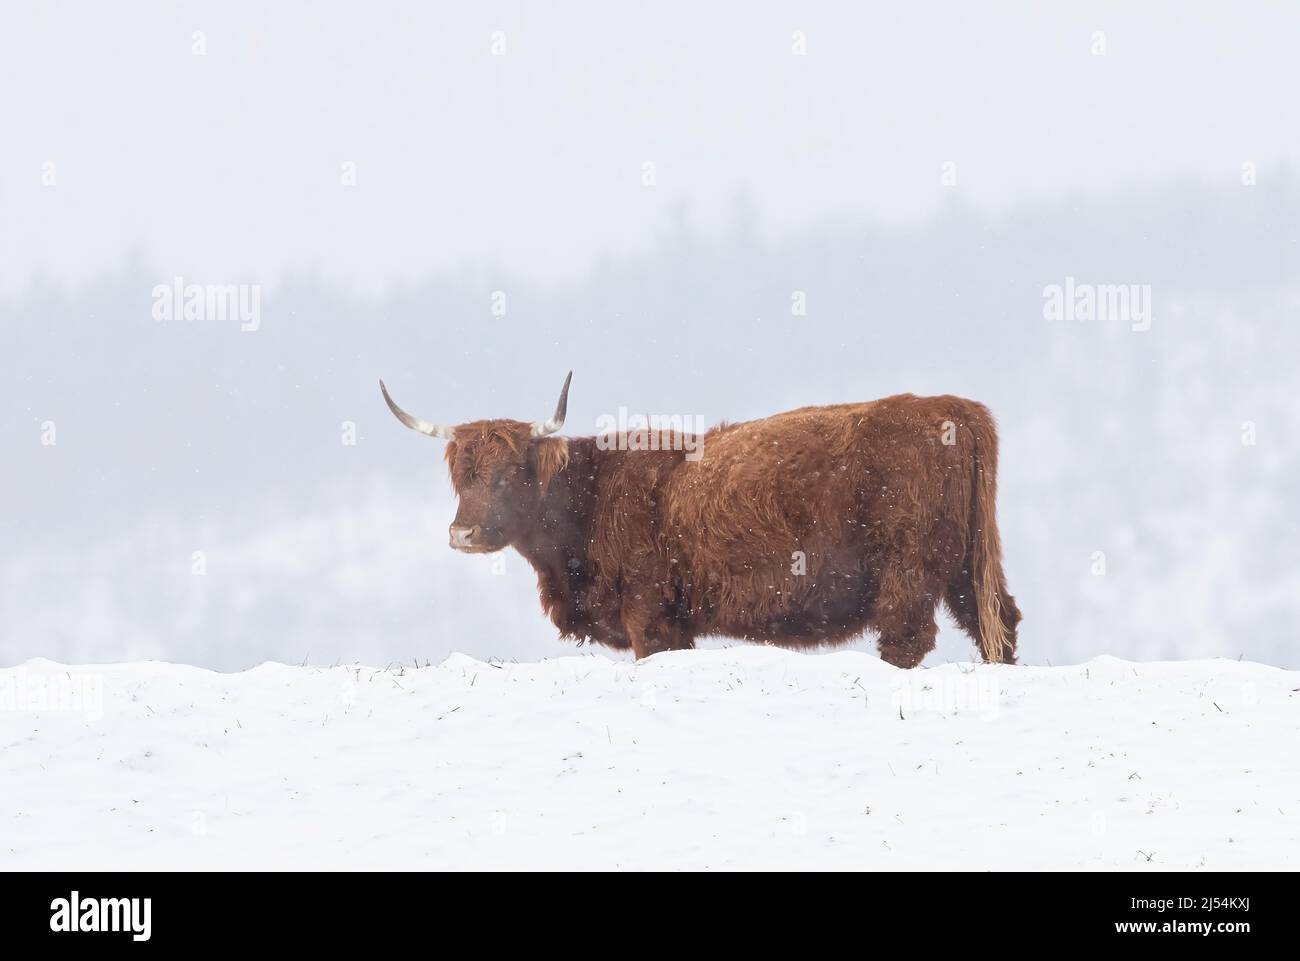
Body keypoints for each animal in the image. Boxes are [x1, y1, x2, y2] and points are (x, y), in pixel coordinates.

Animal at [380, 373, 1021, 668]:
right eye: (460, 474)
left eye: (510, 471)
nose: (462, 534)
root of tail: (948, 406)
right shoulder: (677, 624)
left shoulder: (650, 618)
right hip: (965, 569)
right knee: (1000, 625)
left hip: (908, 574)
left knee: (906, 638)